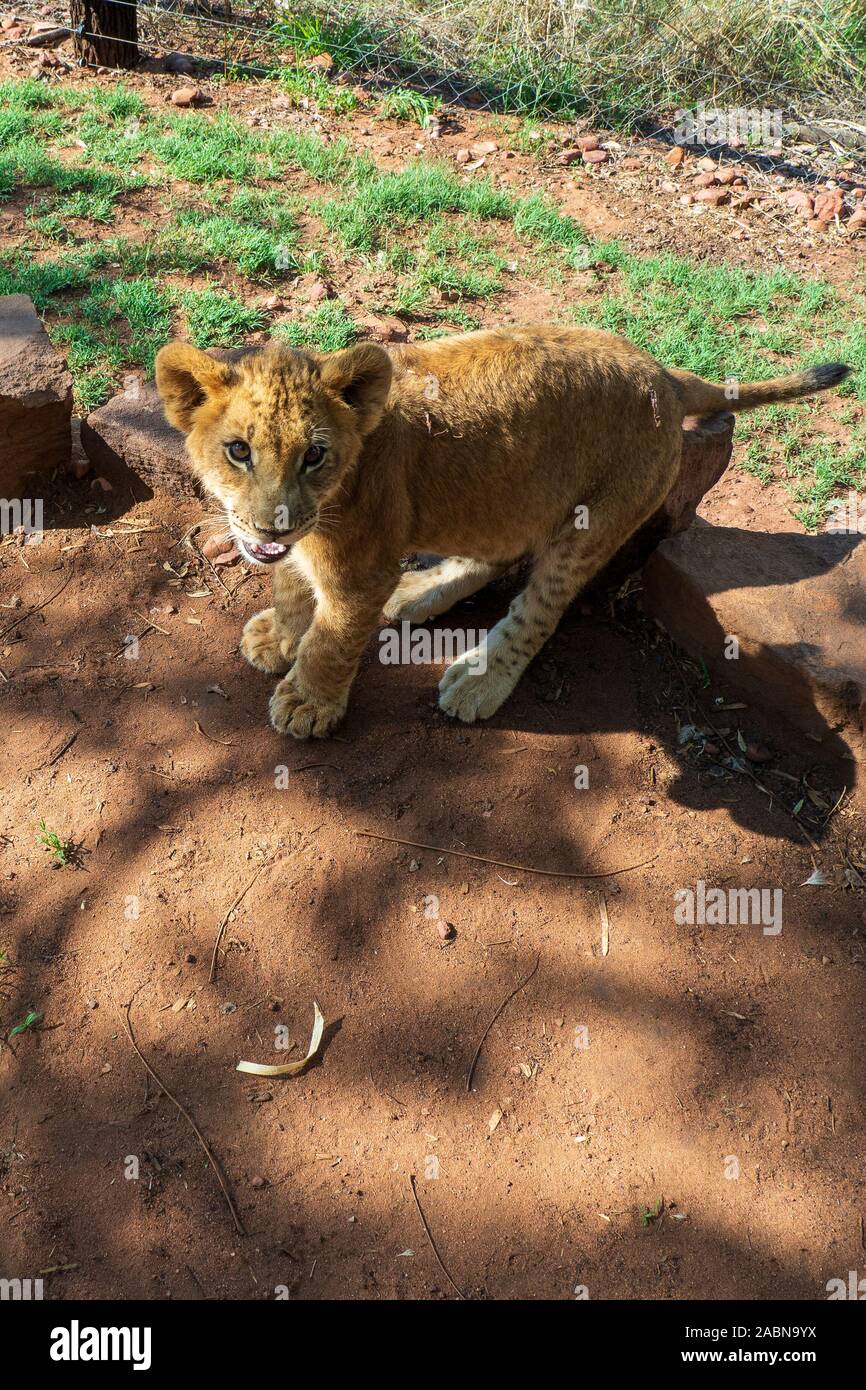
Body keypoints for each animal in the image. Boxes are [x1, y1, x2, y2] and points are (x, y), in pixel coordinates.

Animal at [155, 327, 848, 738]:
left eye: (314, 456)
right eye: (239, 451)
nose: (271, 522)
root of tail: (667, 376)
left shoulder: (361, 570)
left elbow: (331, 637)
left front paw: (308, 702)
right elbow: (292, 589)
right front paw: (278, 636)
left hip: (593, 520)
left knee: (538, 609)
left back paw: (480, 677)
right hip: (507, 495)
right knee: (493, 556)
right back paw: (416, 595)